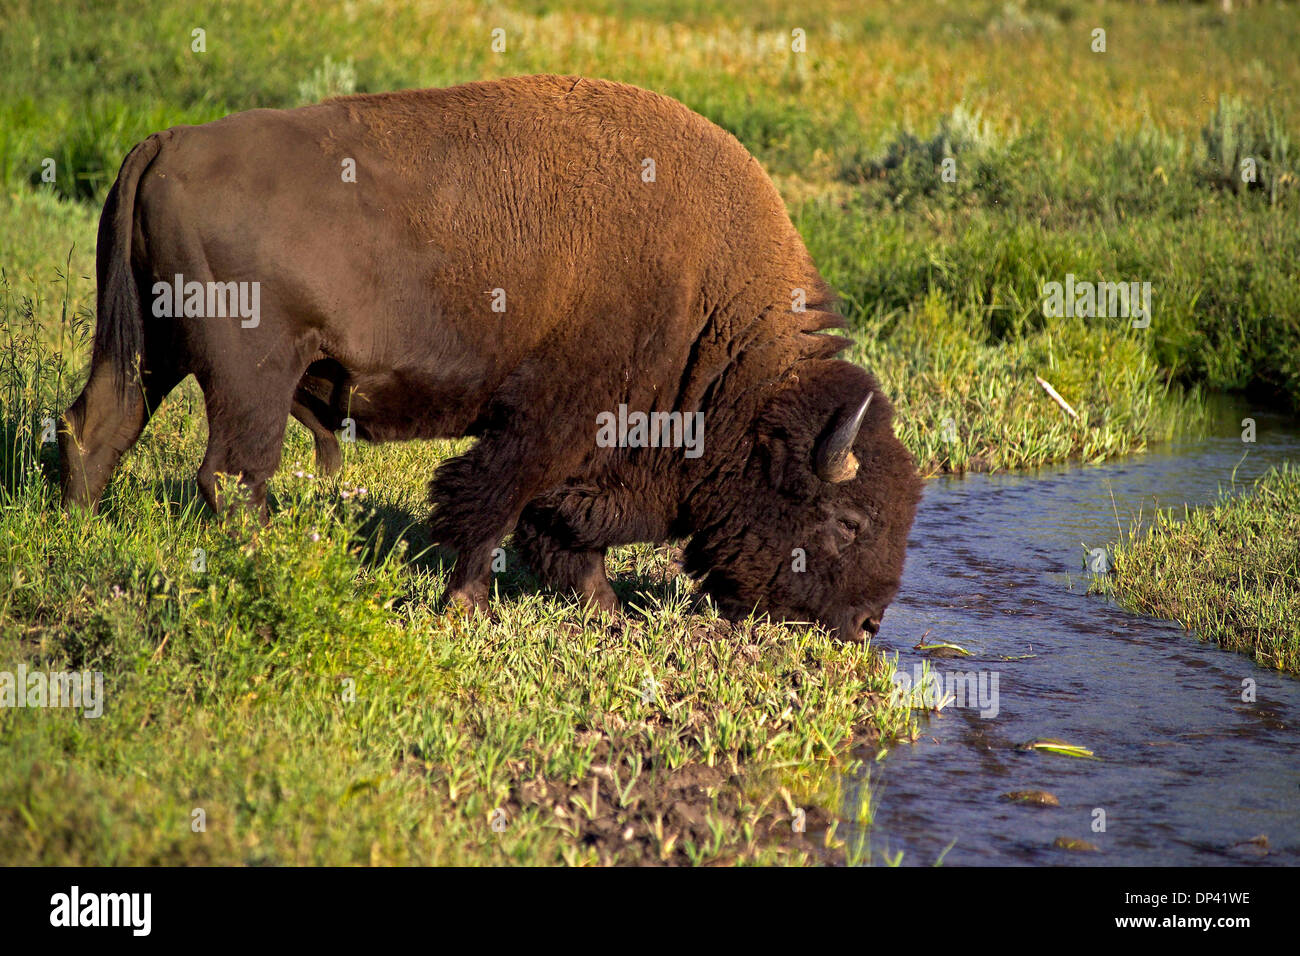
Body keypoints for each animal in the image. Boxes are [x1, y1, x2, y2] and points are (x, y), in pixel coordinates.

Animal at [59, 74, 921, 639]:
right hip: (252, 377)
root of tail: (165, 141)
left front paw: (605, 612)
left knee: (98, 427)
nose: (866, 624)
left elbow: (562, 534)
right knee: (235, 476)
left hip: (152, 349)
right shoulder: (547, 422)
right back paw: (274, 562)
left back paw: (81, 526)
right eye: (847, 520)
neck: (711, 320)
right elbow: (492, 507)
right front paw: (465, 606)